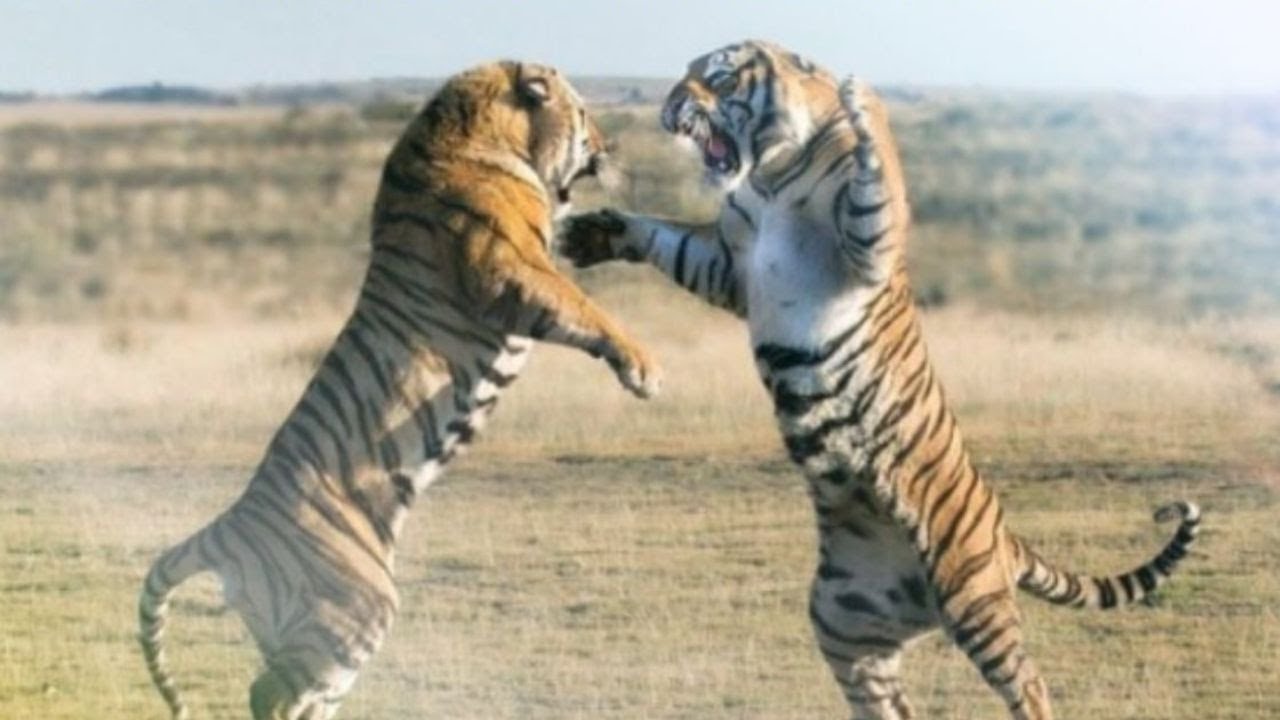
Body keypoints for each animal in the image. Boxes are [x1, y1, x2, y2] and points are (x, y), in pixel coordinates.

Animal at [138, 60, 661, 720]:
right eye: (585, 115)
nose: (611, 146)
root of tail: (227, 525)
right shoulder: (508, 272)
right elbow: (585, 309)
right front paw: (643, 368)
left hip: (315, 625)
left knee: (294, 691)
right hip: (360, 604)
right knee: (271, 695)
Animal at [562, 40, 1200, 719]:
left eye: (721, 77)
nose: (668, 104)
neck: (768, 174)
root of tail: (1002, 534)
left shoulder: (862, 243)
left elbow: (878, 177)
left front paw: (861, 100)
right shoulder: (726, 264)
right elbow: (665, 235)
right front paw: (590, 231)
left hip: (972, 598)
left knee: (1030, 684)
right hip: (843, 620)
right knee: (888, 701)